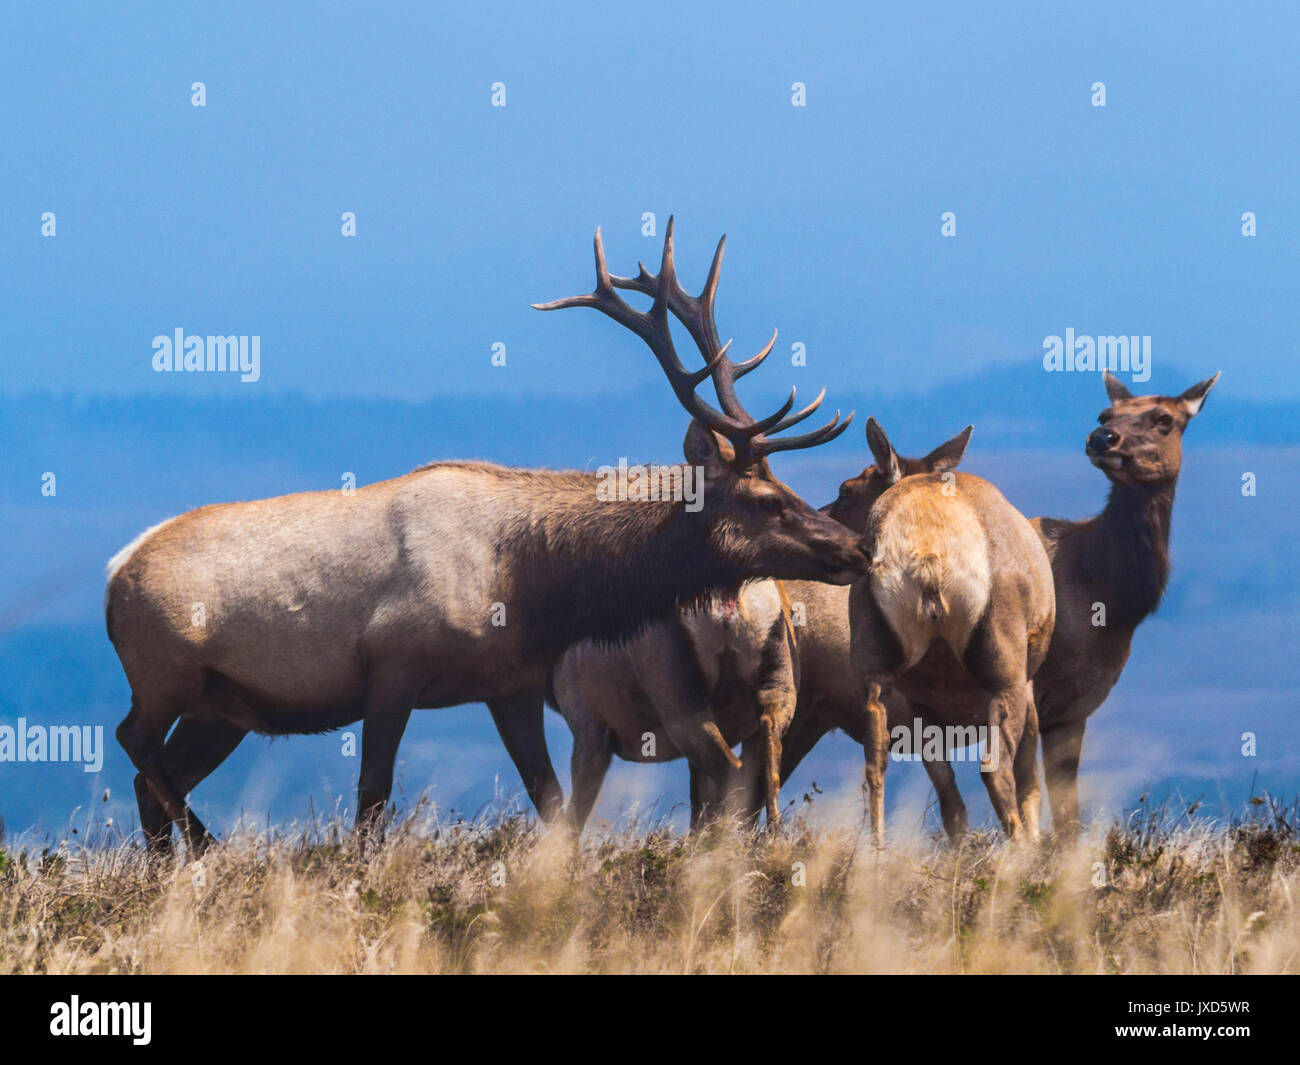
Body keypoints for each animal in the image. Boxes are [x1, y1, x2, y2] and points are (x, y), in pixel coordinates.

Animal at [105, 220, 868, 855]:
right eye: (767, 500)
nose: (854, 549)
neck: (529, 585)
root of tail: (115, 573)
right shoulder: (392, 665)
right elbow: (372, 799)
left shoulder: (510, 684)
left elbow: (551, 800)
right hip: (166, 672)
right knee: (133, 740)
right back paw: (207, 846)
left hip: (224, 706)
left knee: (154, 776)